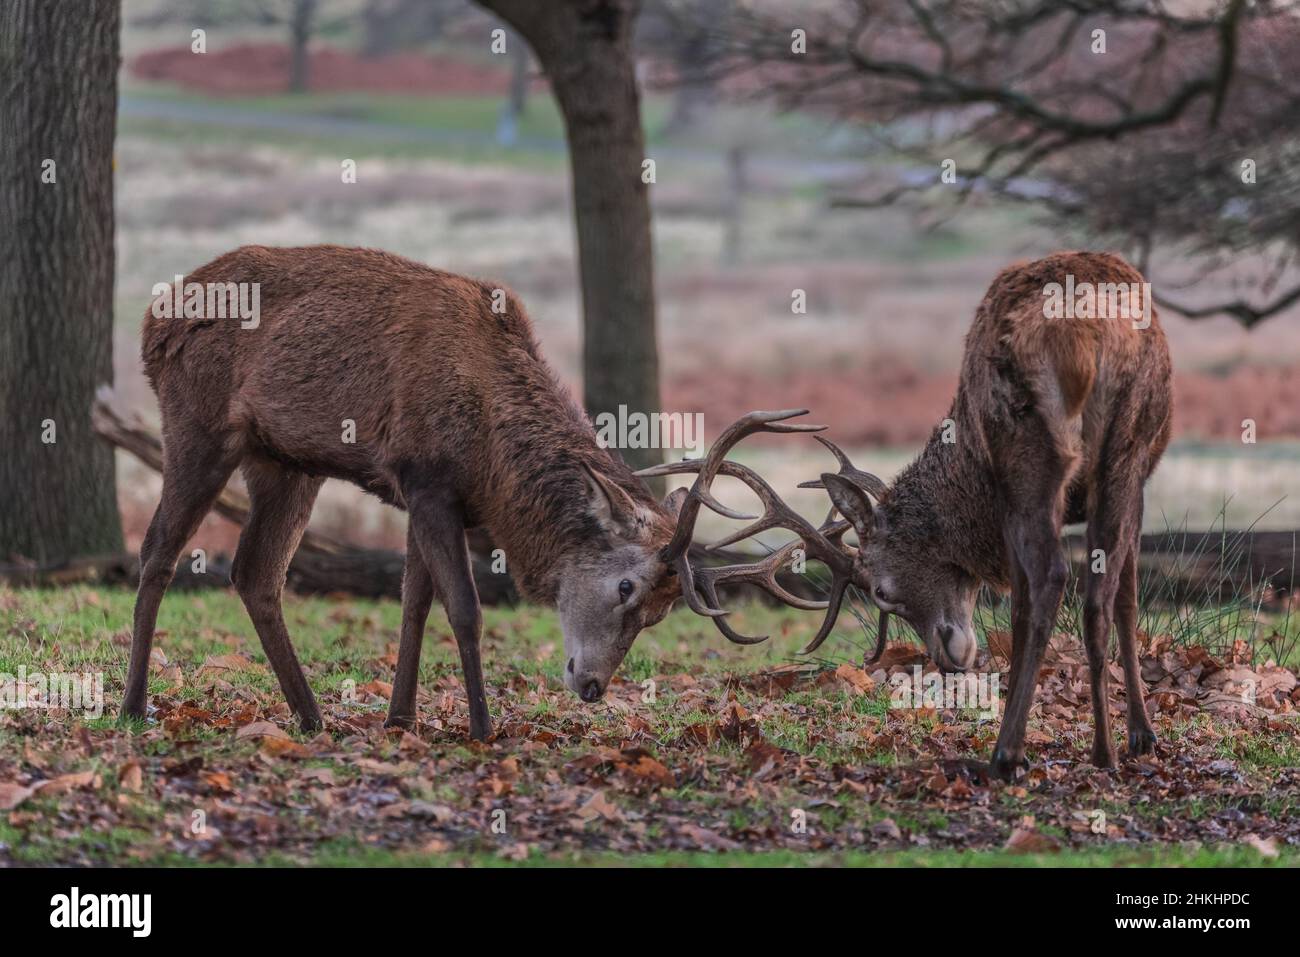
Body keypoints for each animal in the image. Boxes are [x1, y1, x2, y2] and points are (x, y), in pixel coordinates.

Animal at [122, 243, 830, 739]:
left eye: (659, 614)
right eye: (627, 587)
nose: (592, 685)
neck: (492, 461)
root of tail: (152, 320)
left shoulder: (421, 495)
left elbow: (414, 602)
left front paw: (400, 719)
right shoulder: (428, 478)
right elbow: (464, 608)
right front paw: (483, 727)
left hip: (285, 462)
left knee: (255, 572)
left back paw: (311, 715)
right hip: (197, 425)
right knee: (158, 553)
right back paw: (134, 706)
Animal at [642, 251, 1173, 782]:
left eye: (879, 590)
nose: (949, 658)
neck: (966, 481)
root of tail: (1091, 338)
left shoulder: (1002, 499)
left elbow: (1026, 600)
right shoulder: (1140, 484)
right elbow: (1127, 595)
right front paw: (1142, 736)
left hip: (1033, 456)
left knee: (1051, 580)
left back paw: (1006, 753)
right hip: (1128, 448)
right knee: (1100, 595)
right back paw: (1107, 748)